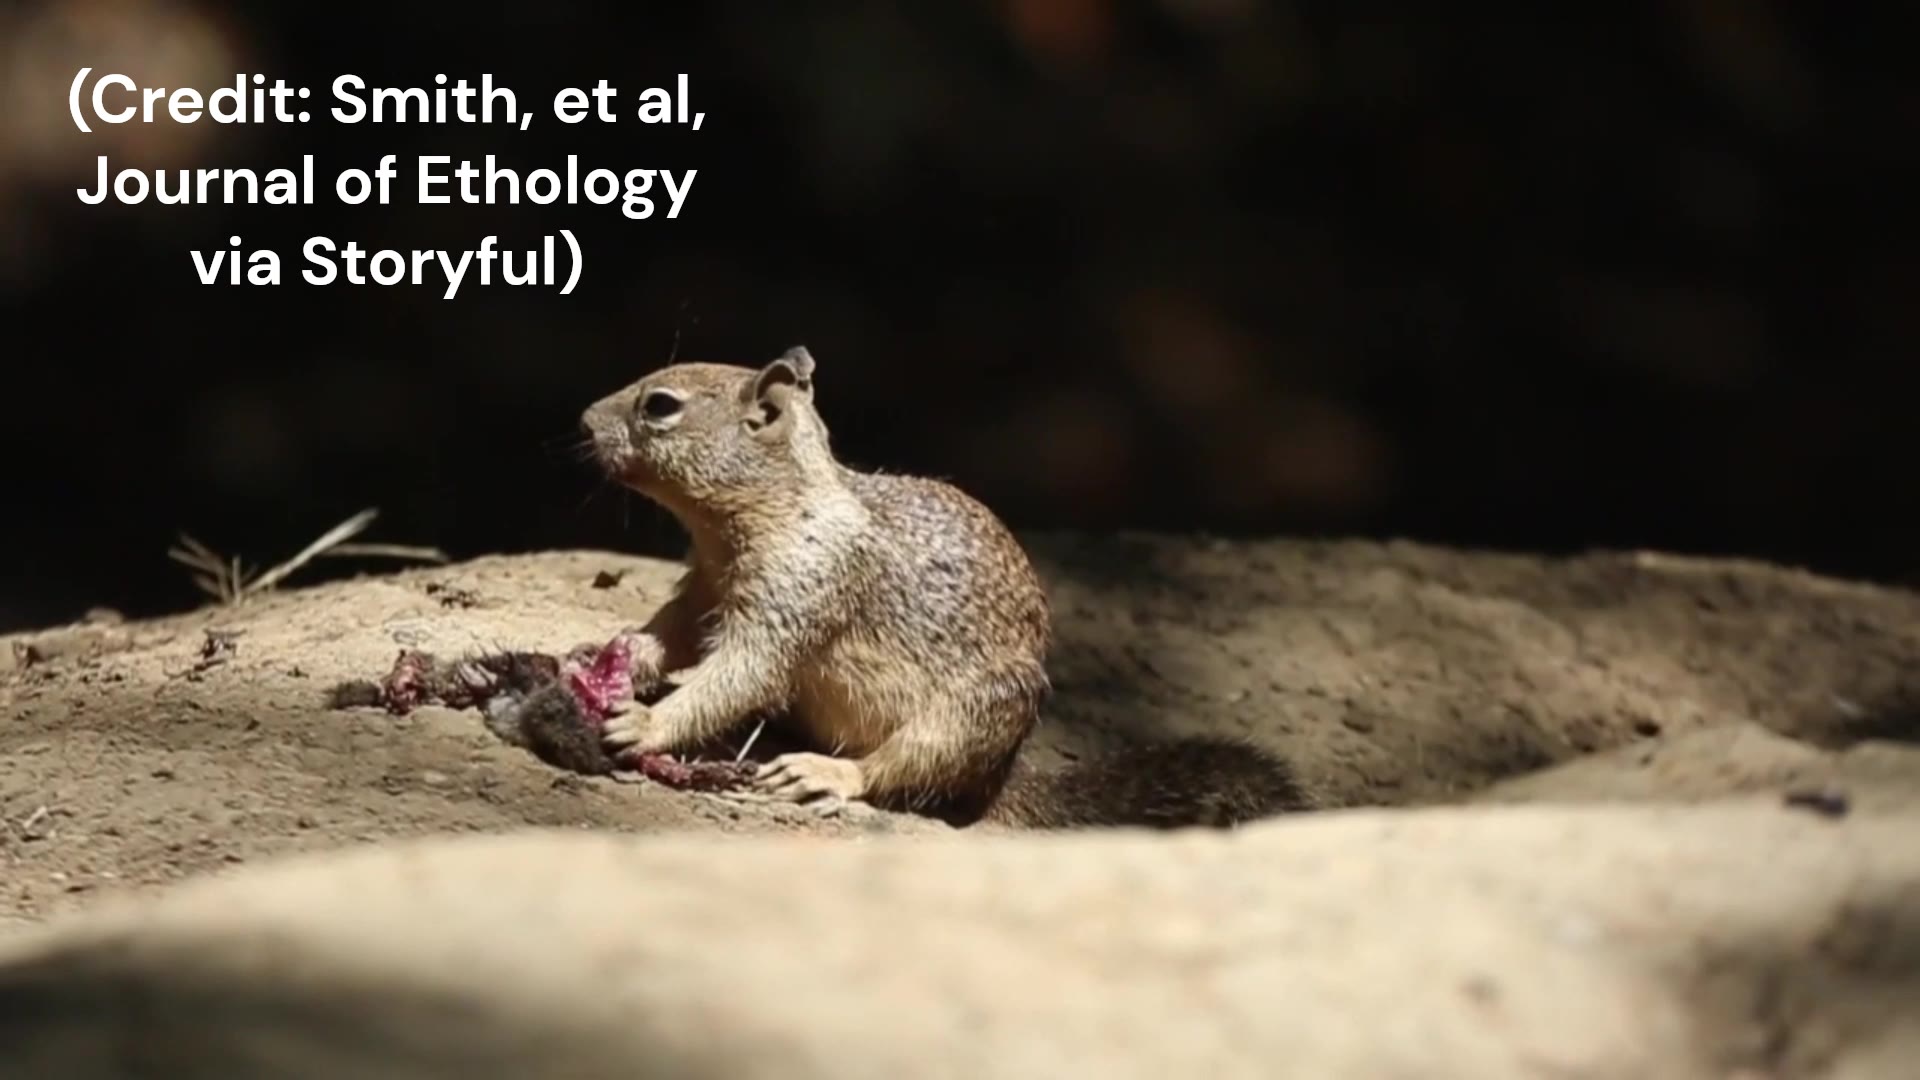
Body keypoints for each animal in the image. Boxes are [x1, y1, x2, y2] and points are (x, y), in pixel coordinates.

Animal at [576, 346, 1303, 828]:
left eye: (660, 406)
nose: (583, 419)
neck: (764, 513)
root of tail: (999, 779)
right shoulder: (704, 587)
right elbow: (670, 633)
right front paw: (618, 653)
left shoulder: (800, 592)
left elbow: (743, 675)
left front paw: (646, 722)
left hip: (969, 720)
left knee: (898, 771)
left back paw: (824, 771)